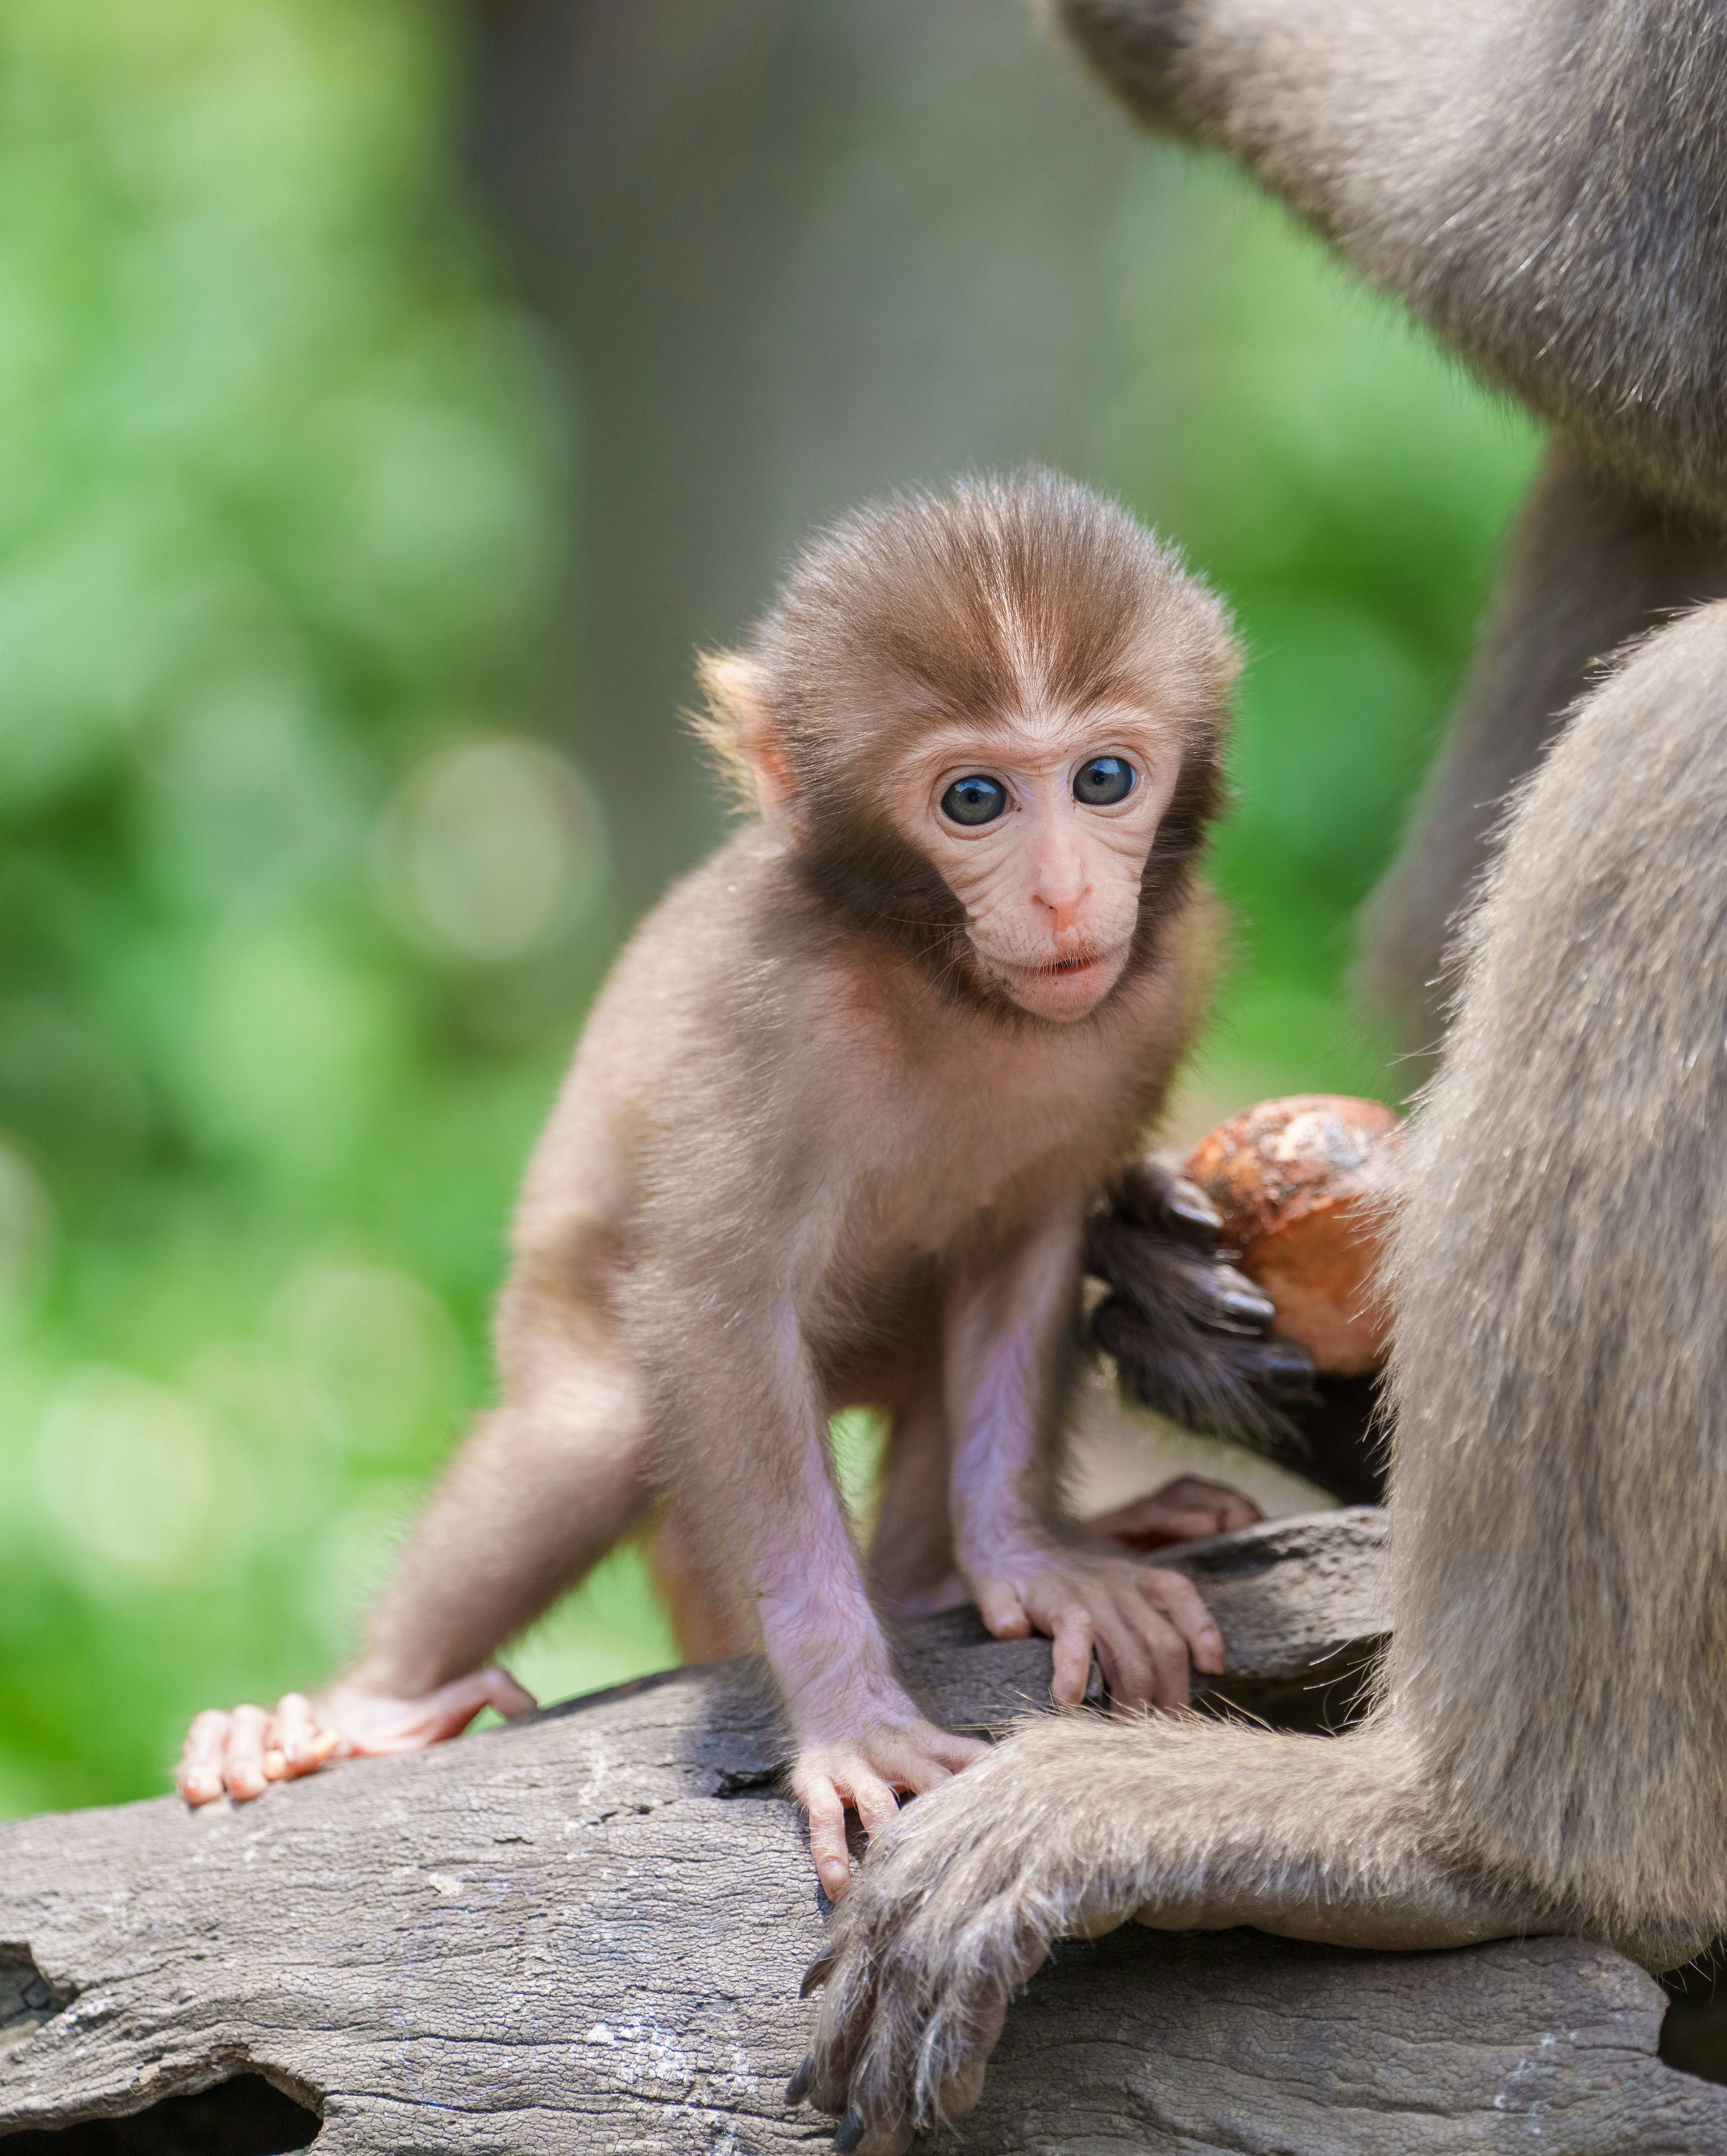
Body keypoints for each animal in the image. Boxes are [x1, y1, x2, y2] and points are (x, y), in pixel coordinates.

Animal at [176, 471, 1304, 1901]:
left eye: (1105, 777)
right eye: (974, 800)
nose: (1059, 896)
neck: (948, 981)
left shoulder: (1163, 985)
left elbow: (1029, 1247)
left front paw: (1036, 1563)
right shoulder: (769, 1009)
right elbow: (717, 1308)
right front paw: (850, 1715)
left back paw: (948, 1576)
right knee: (598, 1422)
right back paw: (360, 1705)